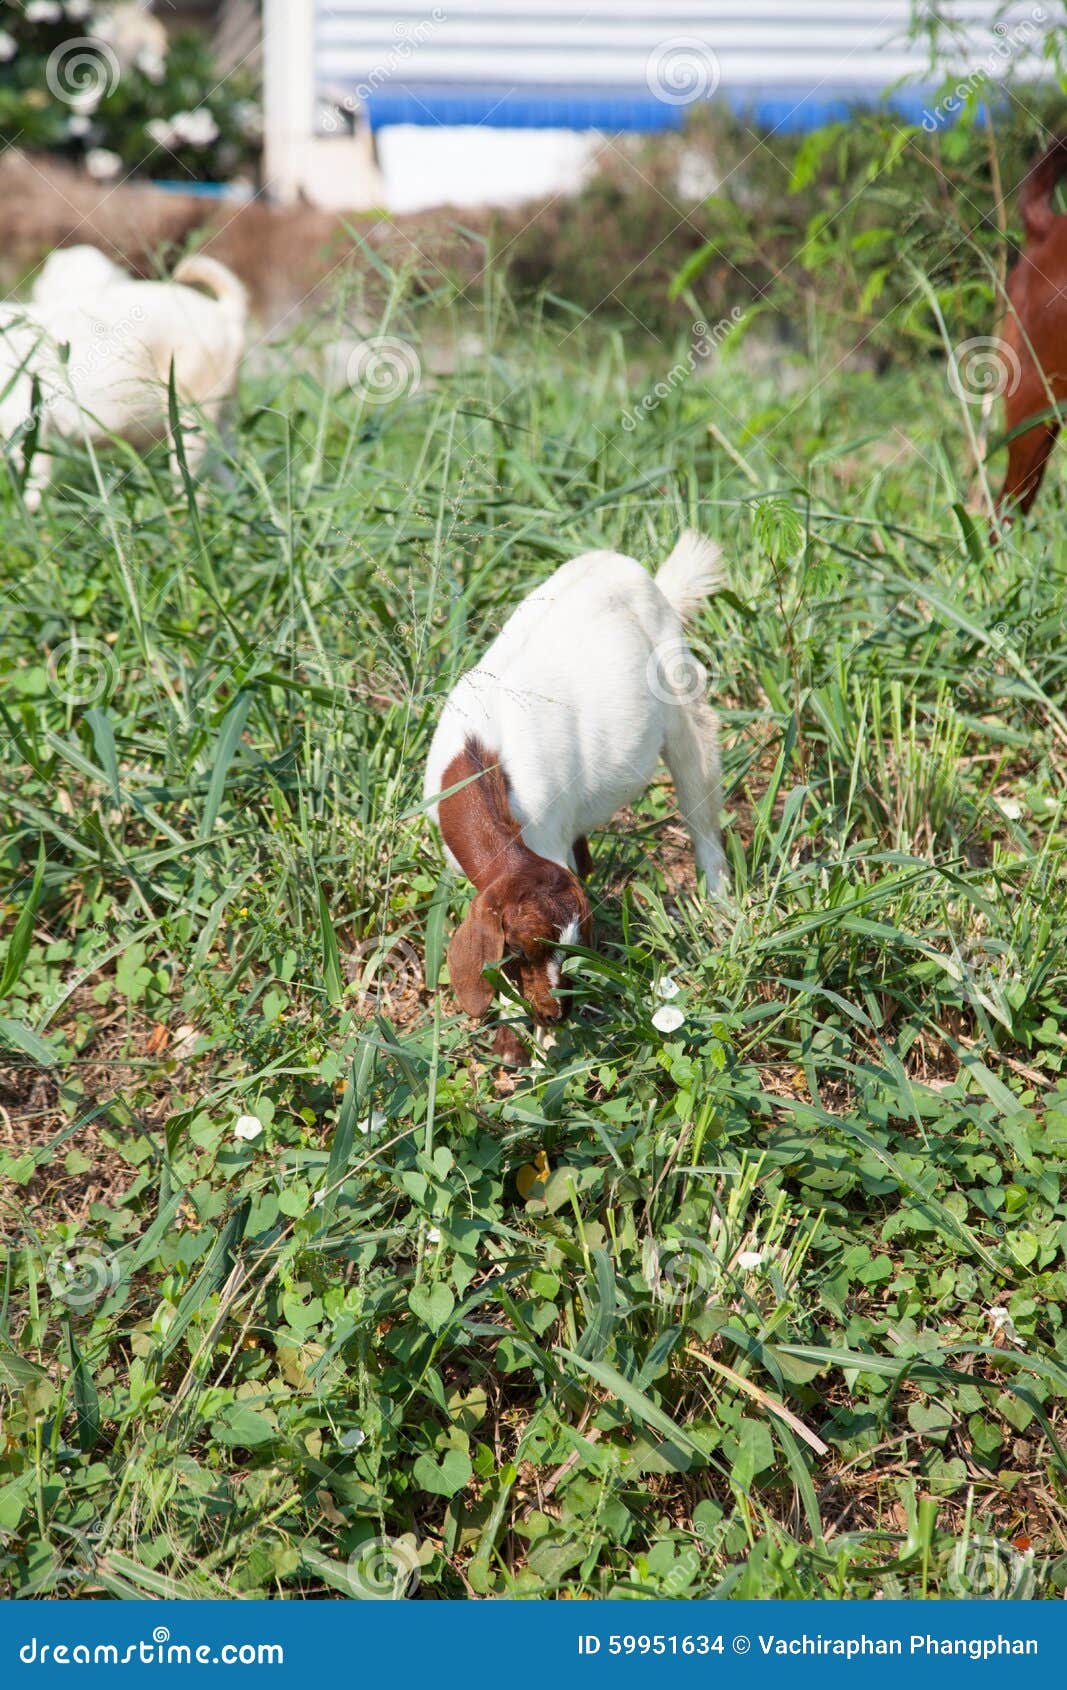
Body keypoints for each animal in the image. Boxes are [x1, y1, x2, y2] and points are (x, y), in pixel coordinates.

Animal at [423, 530, 725, 1056]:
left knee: (699, 781)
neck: (479, 757)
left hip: (678, 690)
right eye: (517, 947)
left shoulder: (545, 838)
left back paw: (722, 903)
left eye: (573, 944)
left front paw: (539, 1056)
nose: (555, 1014)